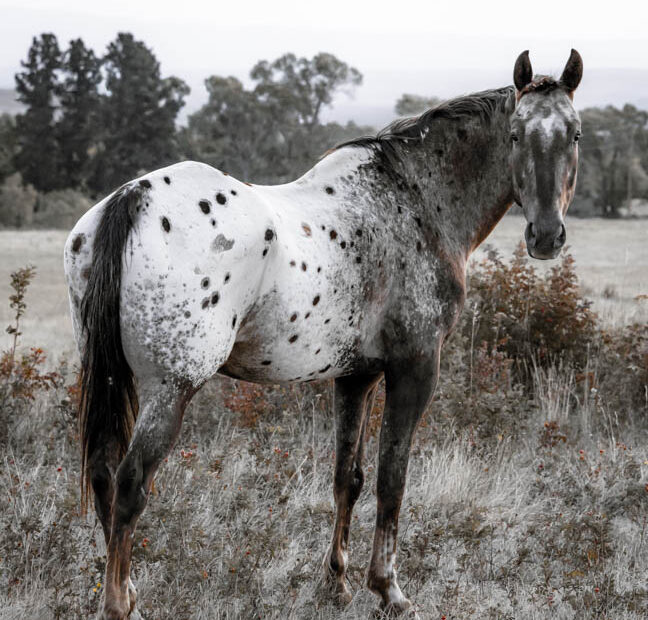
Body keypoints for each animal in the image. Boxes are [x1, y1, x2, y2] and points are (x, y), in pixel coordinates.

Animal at [64, 49, 583, 619]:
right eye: (515, 134)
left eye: (575, 134)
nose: (546, 236)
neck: (414, 200)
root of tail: (132, 199)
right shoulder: (415, 370)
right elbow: (391, 479)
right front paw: (389, 588)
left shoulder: (356, 377)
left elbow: (347, 478)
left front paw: (337, 582)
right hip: (170, 389)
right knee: (130, 483)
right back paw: (120, 603)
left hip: (112, 378)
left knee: (102, 474)